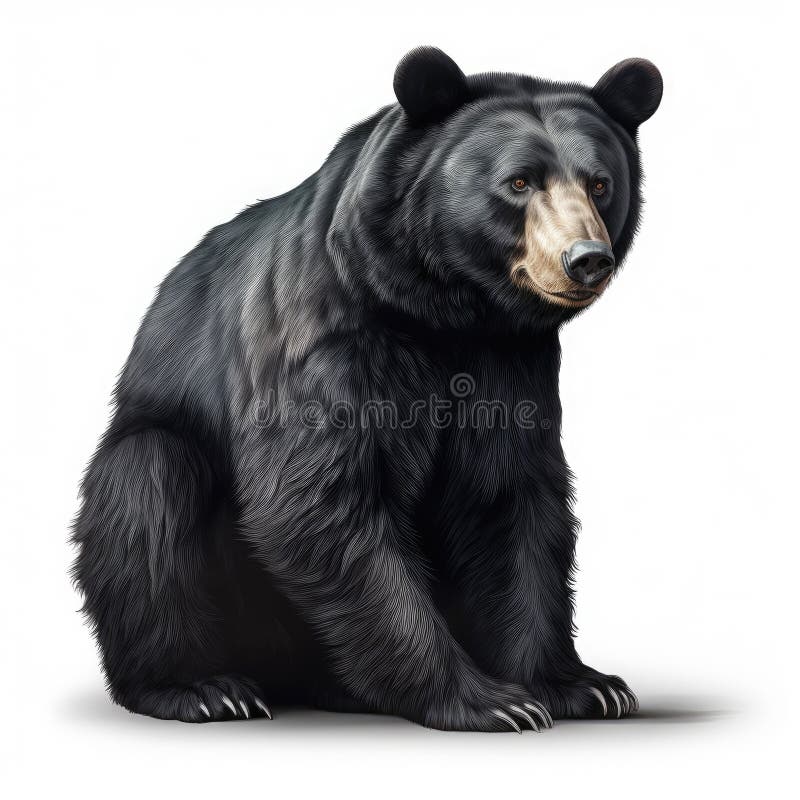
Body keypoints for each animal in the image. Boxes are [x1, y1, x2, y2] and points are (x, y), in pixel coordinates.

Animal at [72, 46, 662, 732]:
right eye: (518, 183)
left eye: (599, 182)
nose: (586, 258)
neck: (443, 313)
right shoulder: (325, 342)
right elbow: (318, 498)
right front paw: (489, 700)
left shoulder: (511, 366)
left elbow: (514, 502)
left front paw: (583, 685)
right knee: (149, 488)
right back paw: (203, 688)